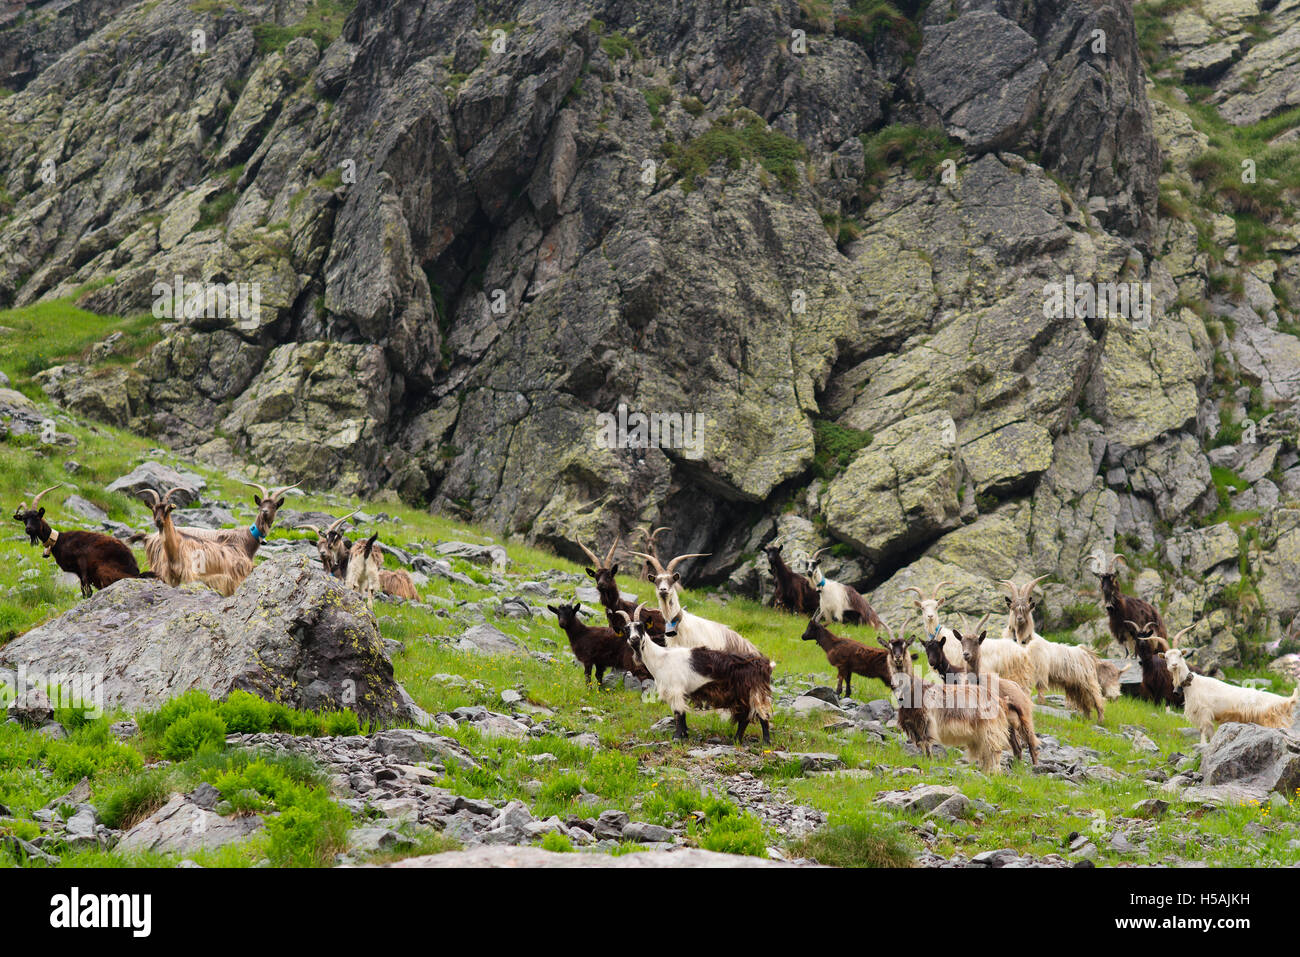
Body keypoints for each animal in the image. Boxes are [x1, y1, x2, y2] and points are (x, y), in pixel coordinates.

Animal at [12, 484, 147, 596]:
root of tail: (136, 572)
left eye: (37, 517)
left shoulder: (82, 566)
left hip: (103, 572)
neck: (59, 540)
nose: (28, 529)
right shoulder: (79, 572)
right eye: (24, 519)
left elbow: (86, 592)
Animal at [621, 606, 772, 744]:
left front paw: (677, 737)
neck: (661, 658)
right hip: (742, 694)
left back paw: (765, 742)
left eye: (641, 626)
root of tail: (764, 663)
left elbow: (678, 713)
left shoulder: (676, 689)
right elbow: (682, 714)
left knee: (762, 713)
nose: (634, 639)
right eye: (626, 629)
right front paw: (684, 735)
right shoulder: (679, 691)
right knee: (745, 716)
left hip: (754, 691)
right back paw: (736, 740)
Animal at [1002, 577, 1105, 721]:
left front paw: (1040, 703)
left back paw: (1100, 720)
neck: (1024, 641)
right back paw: (1087, 718)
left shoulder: (1040, 670)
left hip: (1089, 681)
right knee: (1085, 703)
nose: (1020, 619)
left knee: (1097, 698)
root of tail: (1085, 652)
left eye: (1027, 609)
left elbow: (1039, 687)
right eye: (1013, 608)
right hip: (1076, 686)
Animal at [1166, 645, 1299, 744]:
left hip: (1275, 721)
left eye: (1180, 655)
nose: (1174, 665)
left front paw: (1203, 745)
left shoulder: (1204, 712)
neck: (1193, 684)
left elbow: (1203, 730)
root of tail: (1286, 700)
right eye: (1166, 657)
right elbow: (1209, 732)